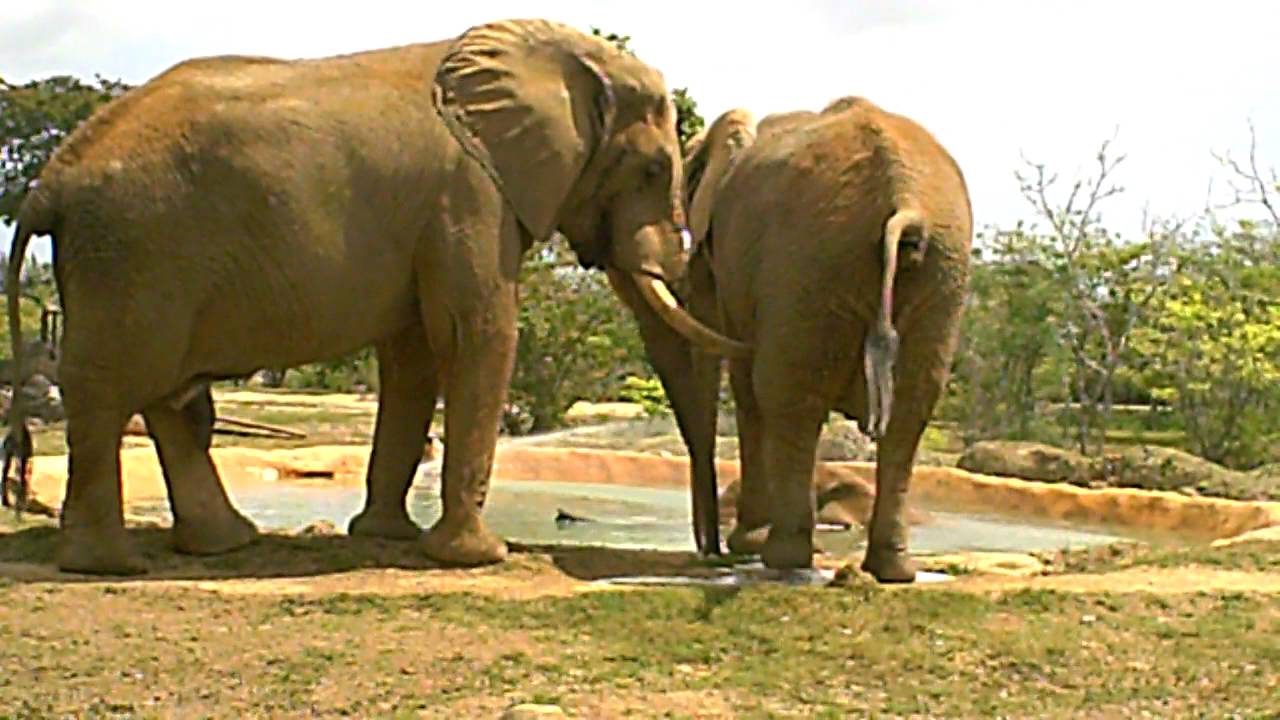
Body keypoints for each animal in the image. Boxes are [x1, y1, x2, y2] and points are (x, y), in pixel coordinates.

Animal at [4, 18, 745, 575]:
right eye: (651, 169)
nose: (711, 557)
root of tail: (50, 181)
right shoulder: (468, 195)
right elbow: (475, 336)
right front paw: (476, 558)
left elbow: (413, 359)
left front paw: (386, 538)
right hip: (132, 253)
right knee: (111, 387)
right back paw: (108, 565)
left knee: (168, 397)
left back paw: (222, 544)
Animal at [663, 96, 973, 581]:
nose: (709, 553)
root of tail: (903, 199)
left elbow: (746, 382)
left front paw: (745, 544)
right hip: (934, 272)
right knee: (911, 408)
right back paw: (892, 569)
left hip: (811, 260)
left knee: (785, 394)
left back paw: (781, 557)